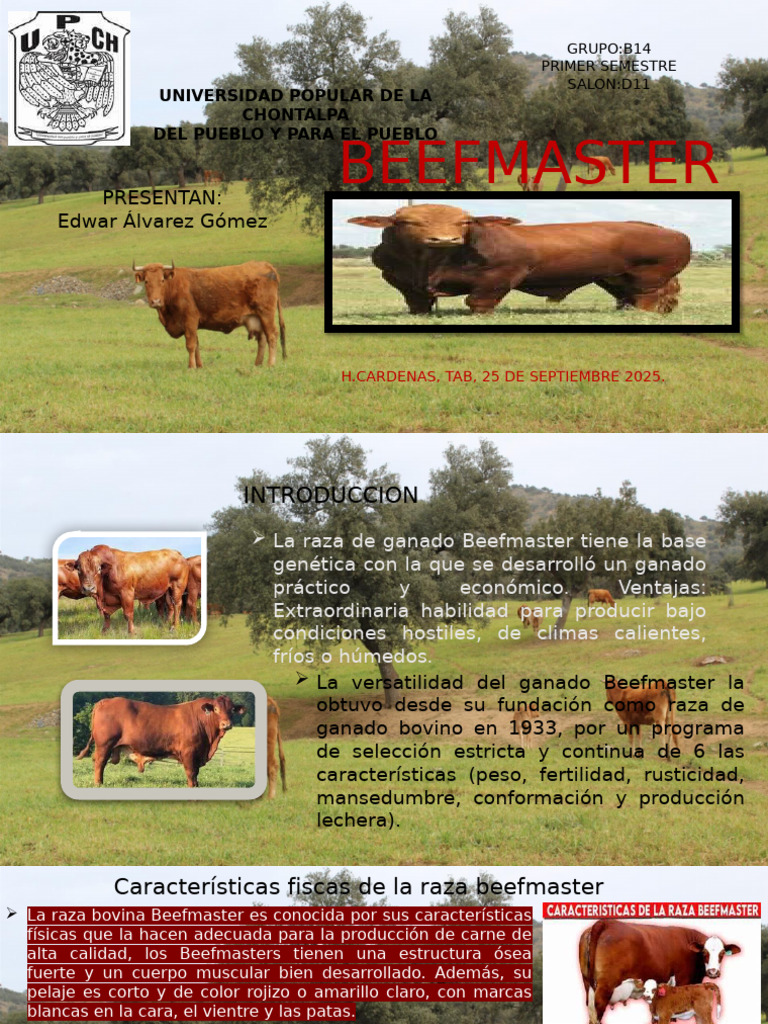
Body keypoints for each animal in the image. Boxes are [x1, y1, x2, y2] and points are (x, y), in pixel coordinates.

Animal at [77, 695, 245, 786]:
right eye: (216, 709)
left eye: (232, 709)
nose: (226, 724)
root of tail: (104, 701)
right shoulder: (189, 752)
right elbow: (191, 773)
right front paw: (192, 786)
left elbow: (196, 773)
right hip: (104, 745)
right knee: (99, 763)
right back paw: (98, 783)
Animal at [133, 260, 287, 369]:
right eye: (146, 281)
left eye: (162, 280)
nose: (155, 301)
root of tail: (266, 265)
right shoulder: (192, 325)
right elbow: (196, 344)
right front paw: (199, 365)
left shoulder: (190, 320)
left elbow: (191, 344)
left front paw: (191, 366)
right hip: (256, 318)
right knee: (262, 339)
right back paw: (257, 364)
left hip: (266, 314)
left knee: (272, 336)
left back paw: (270, 364)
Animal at [349, 204, 690, 316]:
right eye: (409, 222)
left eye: (465, 222)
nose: (445, 239)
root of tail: (670, 231)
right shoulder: (403, 282)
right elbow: (417, 302)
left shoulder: (502, 275)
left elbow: (479, 302)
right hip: (613, 278)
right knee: (627, 296)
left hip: (648, 277)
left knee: (646, 297)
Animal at [579, 921, 740, 1024]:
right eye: (704, 953)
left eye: (722, 954)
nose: (713, 972)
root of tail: (605, 923)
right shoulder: (682, 981)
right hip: (605, 987)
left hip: (589, 986)